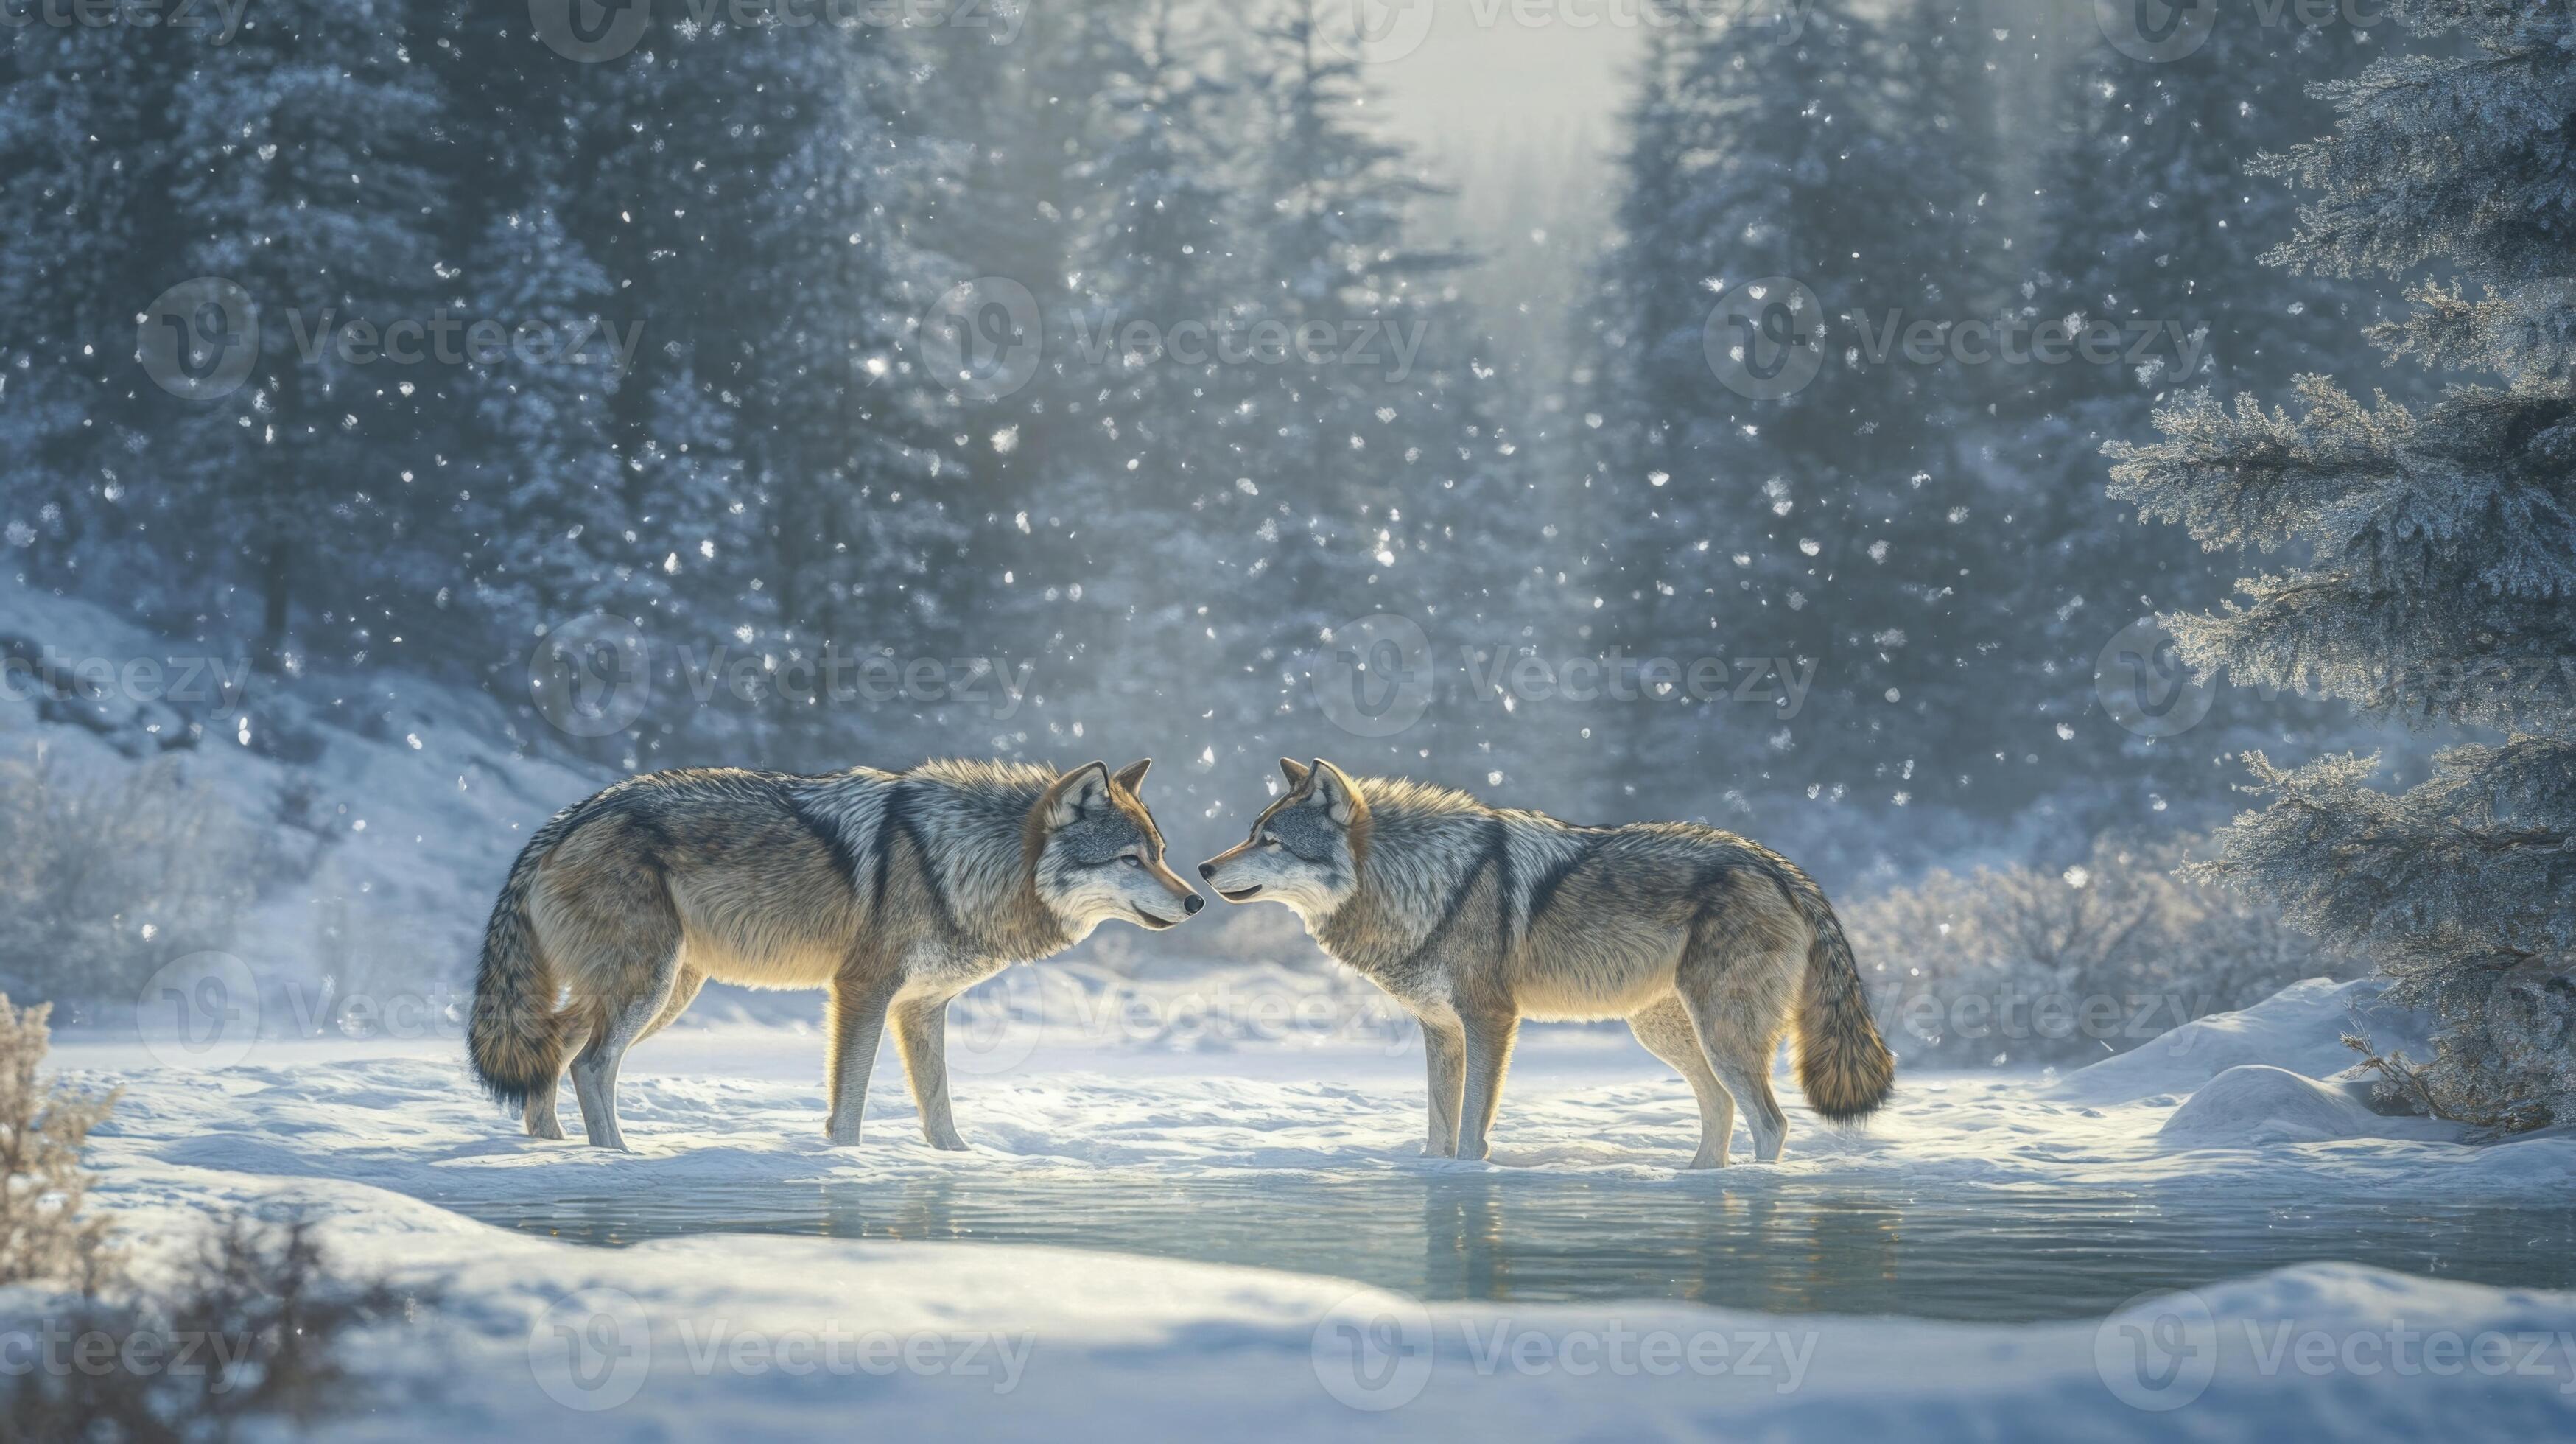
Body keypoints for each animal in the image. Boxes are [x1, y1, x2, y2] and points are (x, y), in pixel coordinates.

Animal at [468, 758, 1199, 1150]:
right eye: (1129, 859)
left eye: (1160, 853)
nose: (1195, 901)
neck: (960, 862)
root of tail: (567, 816)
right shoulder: (863, 990)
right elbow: (850, 1101)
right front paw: (845, 1162)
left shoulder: (921, 1008)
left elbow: (938, 1106)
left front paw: (960, 1161)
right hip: (652, 988)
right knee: (589, 1064)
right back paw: (617, 1156)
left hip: (665, 992)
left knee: (554, 1045)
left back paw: (552, 1147)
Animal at [1199, 759, 1892, 1166]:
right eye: (1251, 831)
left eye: (1271, 840)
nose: (1203, 869)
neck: (1426, 884)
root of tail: (1776, 863)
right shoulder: (1440, 1029)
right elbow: (1437, 1128)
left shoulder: (1489, 1021)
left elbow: (1470, 1130)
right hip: (1666, 1032)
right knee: (1721, 1110)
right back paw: (1694, 1183)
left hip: (1719, 1032)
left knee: (1771, 1125)